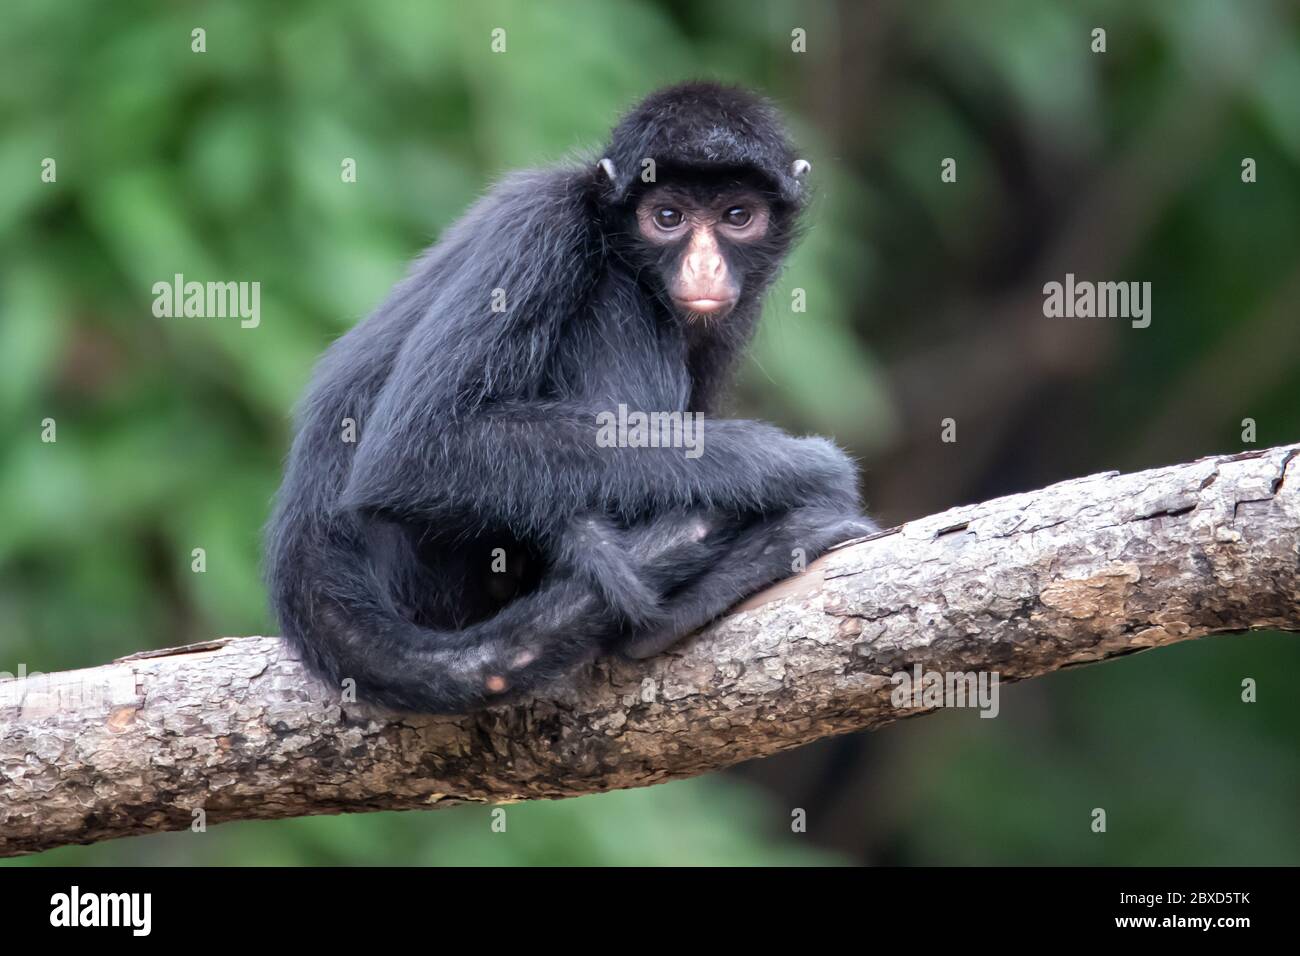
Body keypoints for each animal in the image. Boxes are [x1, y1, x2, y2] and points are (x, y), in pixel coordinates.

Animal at [265, 82, 876, 715]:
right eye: (668, 217)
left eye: (737, 216)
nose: (704, 266)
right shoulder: (541, 221)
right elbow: (410, 453)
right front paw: (797, 467)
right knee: (617, 292)